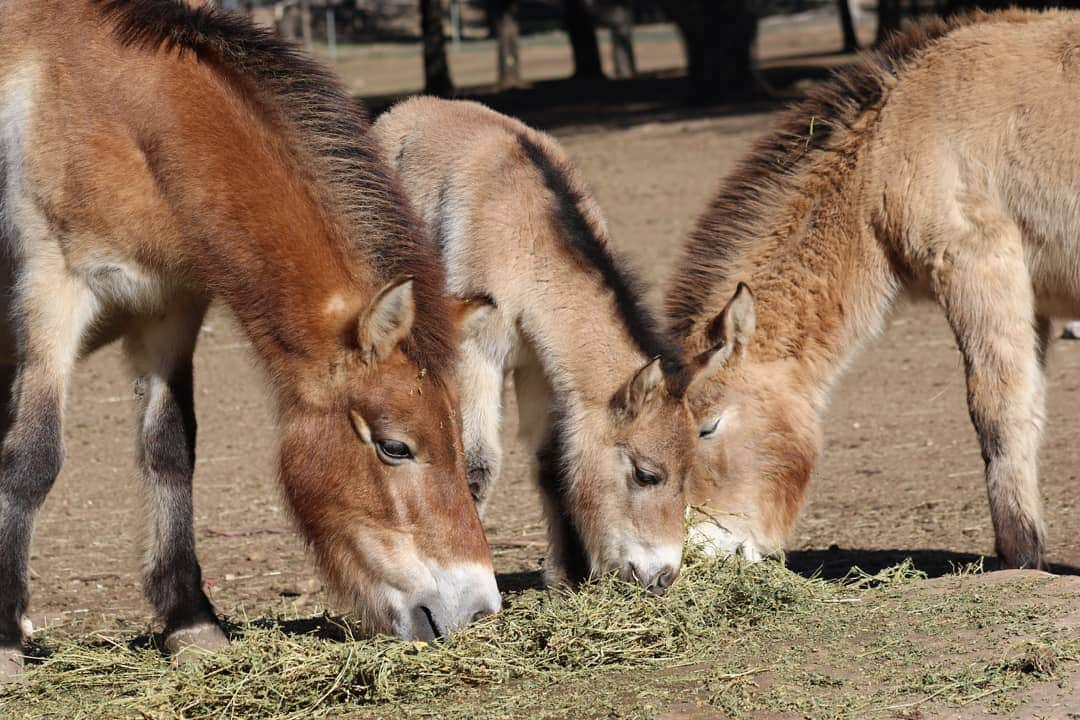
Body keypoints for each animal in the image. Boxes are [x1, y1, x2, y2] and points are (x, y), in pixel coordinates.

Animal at [0, 0, 496, 682]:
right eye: (395, 447)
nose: (478, 610)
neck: (121, 113)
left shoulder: (169, 310)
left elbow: (170, 449)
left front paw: (190, 622)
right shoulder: (53, 295)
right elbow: (33, 458)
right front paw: (2, 642)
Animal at [373, 97, 725, 591]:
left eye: (692, 469)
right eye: (646, 474)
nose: (661, 578)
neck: (524, 239)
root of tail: (403, 110)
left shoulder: (541, 366)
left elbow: (550, 461)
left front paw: (566, 579)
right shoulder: (476, 354)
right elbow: (477, 463)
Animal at [665, 5, 1080, 569]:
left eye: (707, 427)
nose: (704, 553)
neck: (890, 140)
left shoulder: (977, 265)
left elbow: (996, 411)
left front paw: (1020, 556)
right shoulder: (1030, 297)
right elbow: (1029, 404)